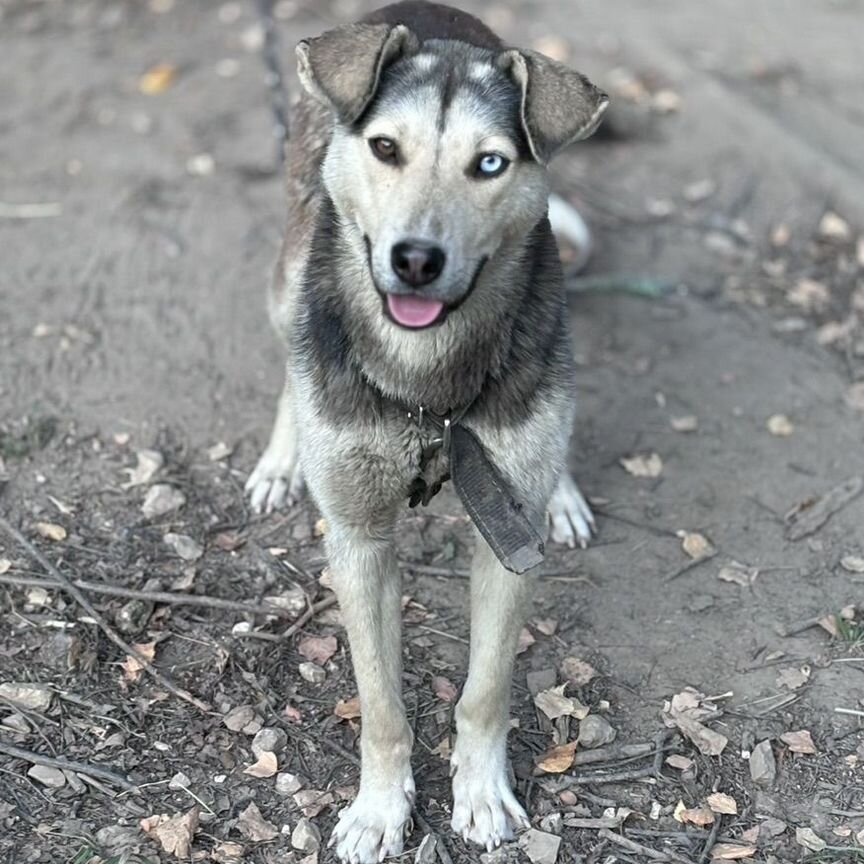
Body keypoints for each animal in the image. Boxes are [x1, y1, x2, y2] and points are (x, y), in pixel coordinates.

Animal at [243, 3, 608, 860]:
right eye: (386, 148)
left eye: (489, 164)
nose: (415, 259)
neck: (427, 390)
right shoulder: (358, 541)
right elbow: (380, 704)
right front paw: (380, 810)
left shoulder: (505, 537)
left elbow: (486, 691)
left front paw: (480, 794)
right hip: (289, 271)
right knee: (291, 346)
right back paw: (281, 458)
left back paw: (566, 492)